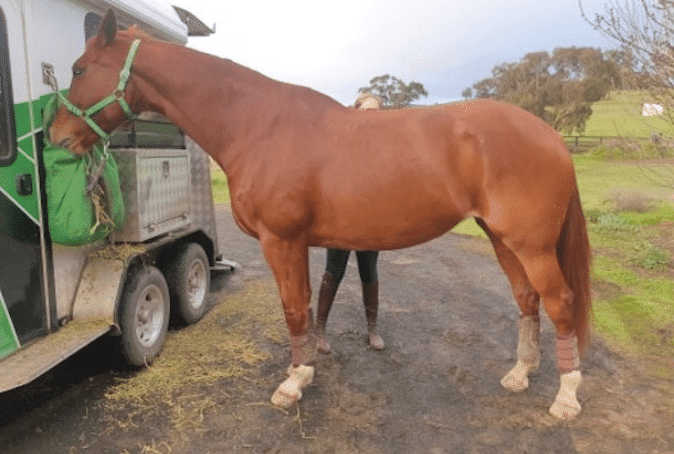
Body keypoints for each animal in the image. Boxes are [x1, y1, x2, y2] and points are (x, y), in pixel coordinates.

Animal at [50, 9, 591, 419]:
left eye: (78, 69)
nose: (56, 138)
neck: (256, 125)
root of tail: (550, 135)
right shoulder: (299, 244)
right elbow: (306, 307)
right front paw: (305, 369)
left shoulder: (282, 240)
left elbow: (294, 308)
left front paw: (293, 383)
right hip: (503, 238)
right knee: (527, 299)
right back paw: (520, 373)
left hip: (532, 244)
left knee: (560, 302)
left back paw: (566, 398)